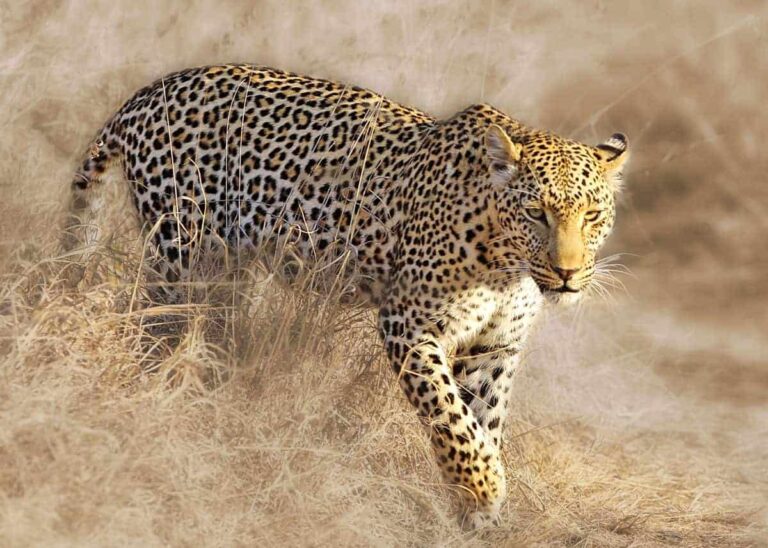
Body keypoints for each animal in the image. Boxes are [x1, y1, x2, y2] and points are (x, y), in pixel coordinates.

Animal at [65, 64, 629, 528]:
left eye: (592, 216)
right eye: (537, 214)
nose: (568, 273)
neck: (507, 267)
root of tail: (147, 92)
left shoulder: (495, 347)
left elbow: (483, 420)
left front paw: (477, 511)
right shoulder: (410, 324)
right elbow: (451, 416)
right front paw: (485, 487)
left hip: (225, 268)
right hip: (182, 251)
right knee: (151, 324)